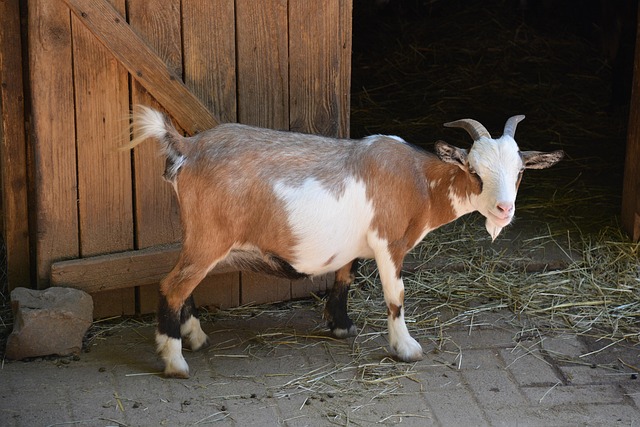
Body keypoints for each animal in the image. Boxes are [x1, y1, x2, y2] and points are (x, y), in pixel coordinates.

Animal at [126, 106, 563, 378]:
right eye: (474, 170)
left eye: (520, 172)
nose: (504, 209)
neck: (419, 181)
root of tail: (188, 146)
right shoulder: (389, 242)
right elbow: (395, 295)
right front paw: (406, 348)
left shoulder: (354, 246)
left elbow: (344, 279)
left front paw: (341, 326)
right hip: (210, 238)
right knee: (172, 285)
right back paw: (175, 362)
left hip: (199, 239)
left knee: (184, 283)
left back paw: (195, 337)